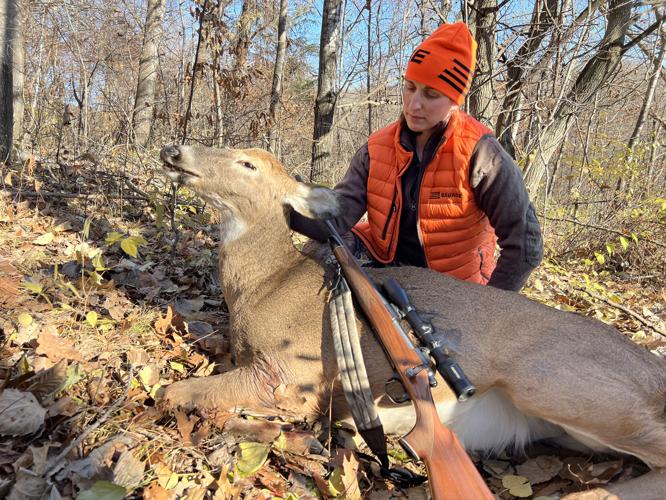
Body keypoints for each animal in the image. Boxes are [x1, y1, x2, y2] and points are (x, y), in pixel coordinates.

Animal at [158, 144, 666, 498]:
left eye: (247, 164)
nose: (174, 151)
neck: (265, 285)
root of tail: (653, 368)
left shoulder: (290, 376)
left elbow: (177, 393)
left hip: (555, 381)